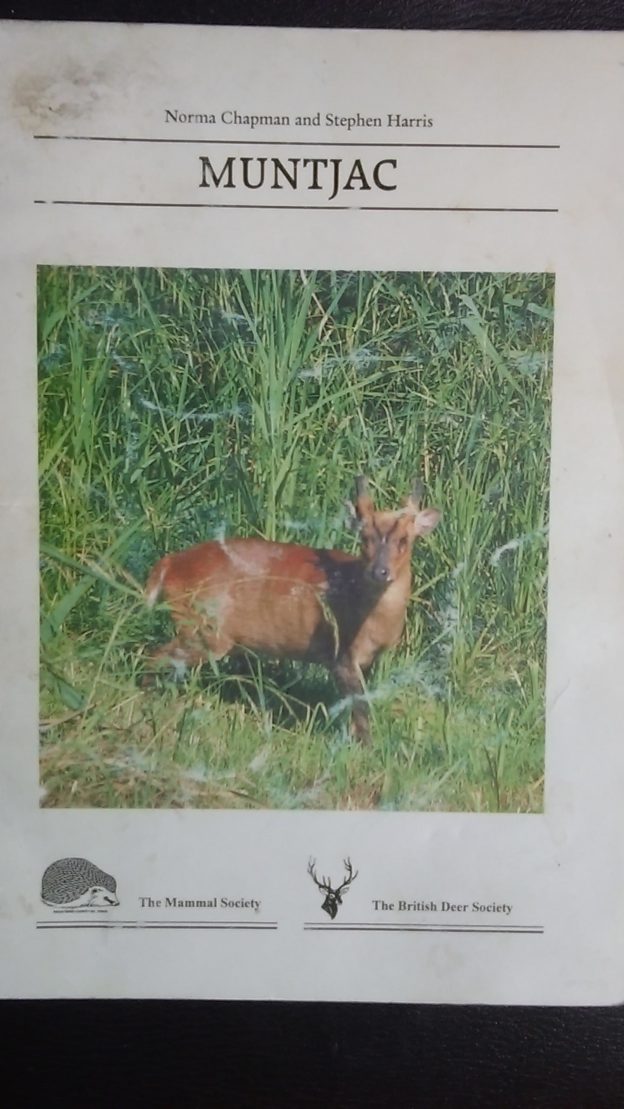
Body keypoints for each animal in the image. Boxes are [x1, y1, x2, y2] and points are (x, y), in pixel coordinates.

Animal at [143, 477, 441, 743]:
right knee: (154, 655)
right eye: (365, 538)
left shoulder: (368, 660)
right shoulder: (341, 653)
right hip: (204, 628)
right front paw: (367, 749)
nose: (380, 571)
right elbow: (361, 710)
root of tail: (169, 563)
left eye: (404, 540)